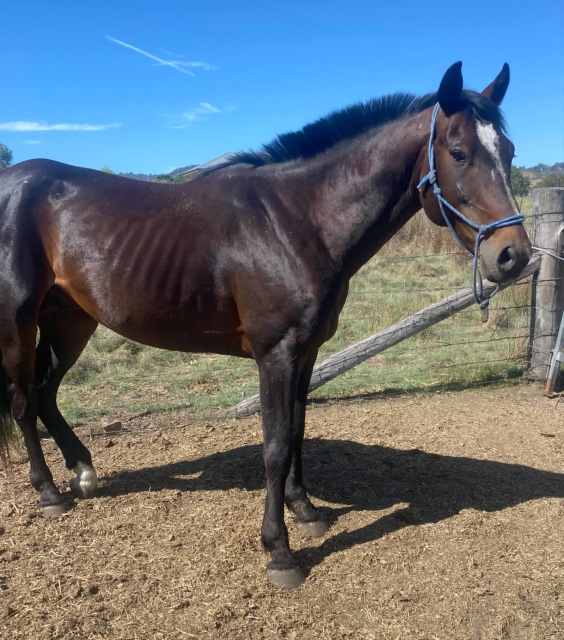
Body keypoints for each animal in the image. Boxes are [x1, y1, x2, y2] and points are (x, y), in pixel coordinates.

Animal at [0, 62, 531, 588]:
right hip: (20, 321)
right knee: (24, 401)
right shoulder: (276, 353)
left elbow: (296, 429)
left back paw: (83, 472)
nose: (513, 256)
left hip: (71, 320)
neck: (298, 221)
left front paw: (307, 511)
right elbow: (275, 445)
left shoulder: (307, 351)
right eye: (459, 153)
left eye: (508, 151)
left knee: (46, 393)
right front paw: (280, 552)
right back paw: (49, 492)